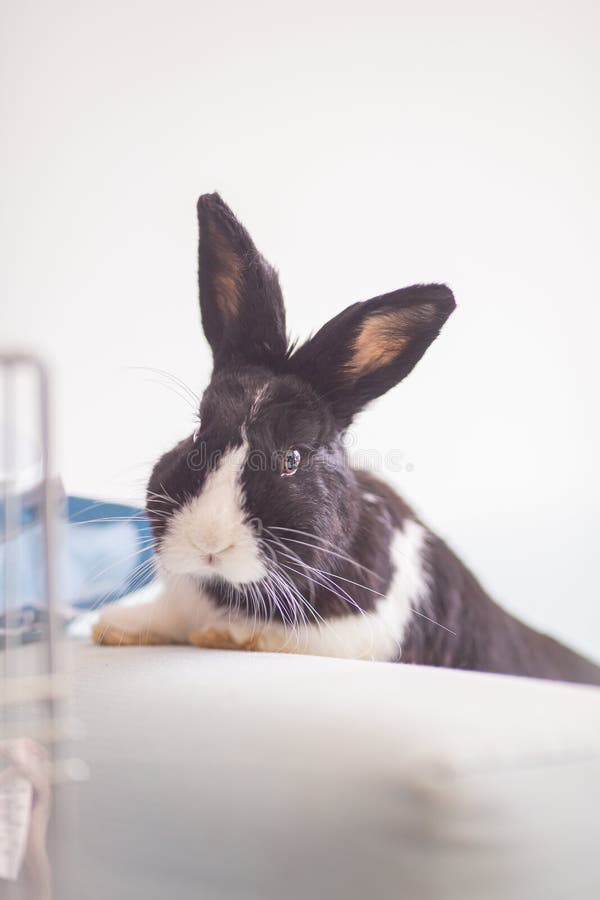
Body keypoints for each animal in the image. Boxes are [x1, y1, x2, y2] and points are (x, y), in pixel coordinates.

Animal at [93, 193, 600, 685]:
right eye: (199, 430)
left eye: (293, 458)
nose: (209, 542)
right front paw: (113, 626)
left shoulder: (354, 637)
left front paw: (223, 635)